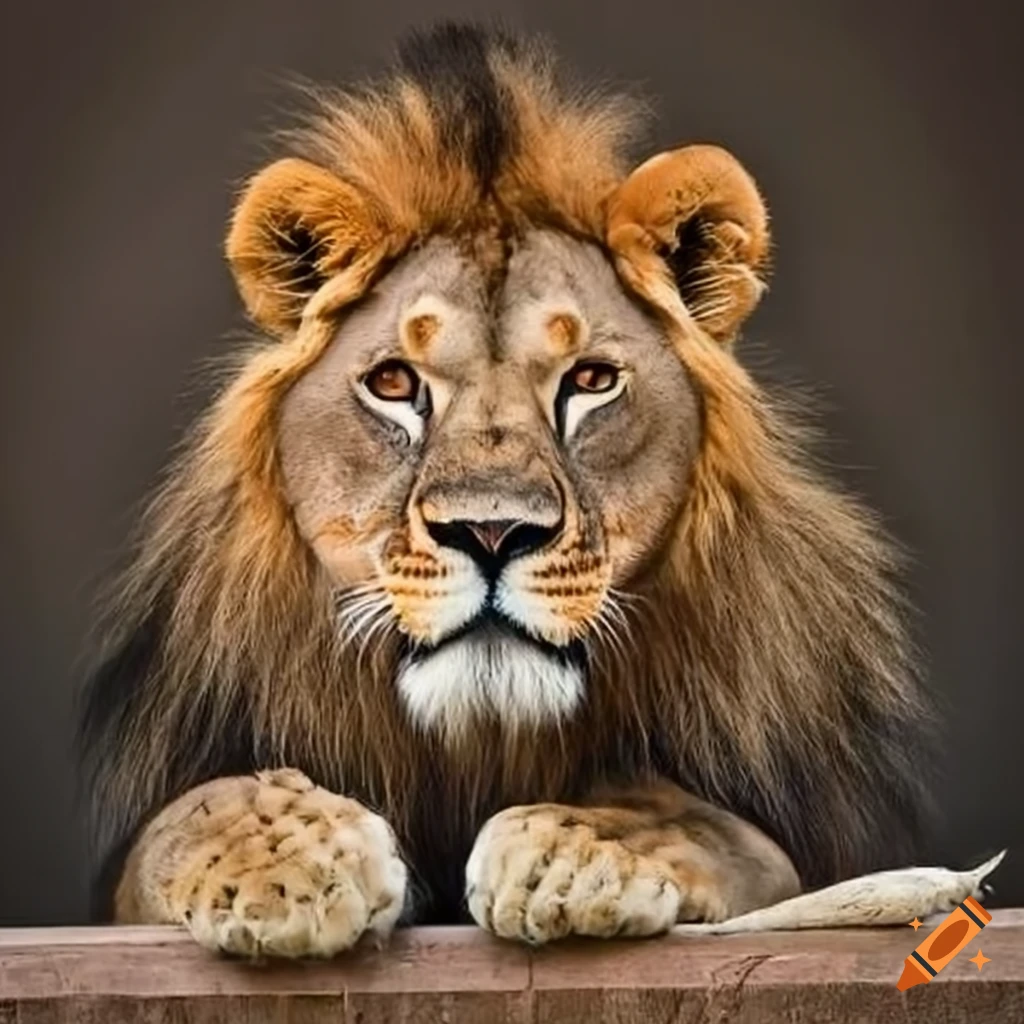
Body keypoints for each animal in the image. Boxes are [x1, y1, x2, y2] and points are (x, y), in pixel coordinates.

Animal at [79, 23, 933, 956]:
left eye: (591, 380)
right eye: (393, 383)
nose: (490, 534)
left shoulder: (801, 850)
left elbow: (711, 828)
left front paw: (576, 853)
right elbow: (187, 816)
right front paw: (288, 864)